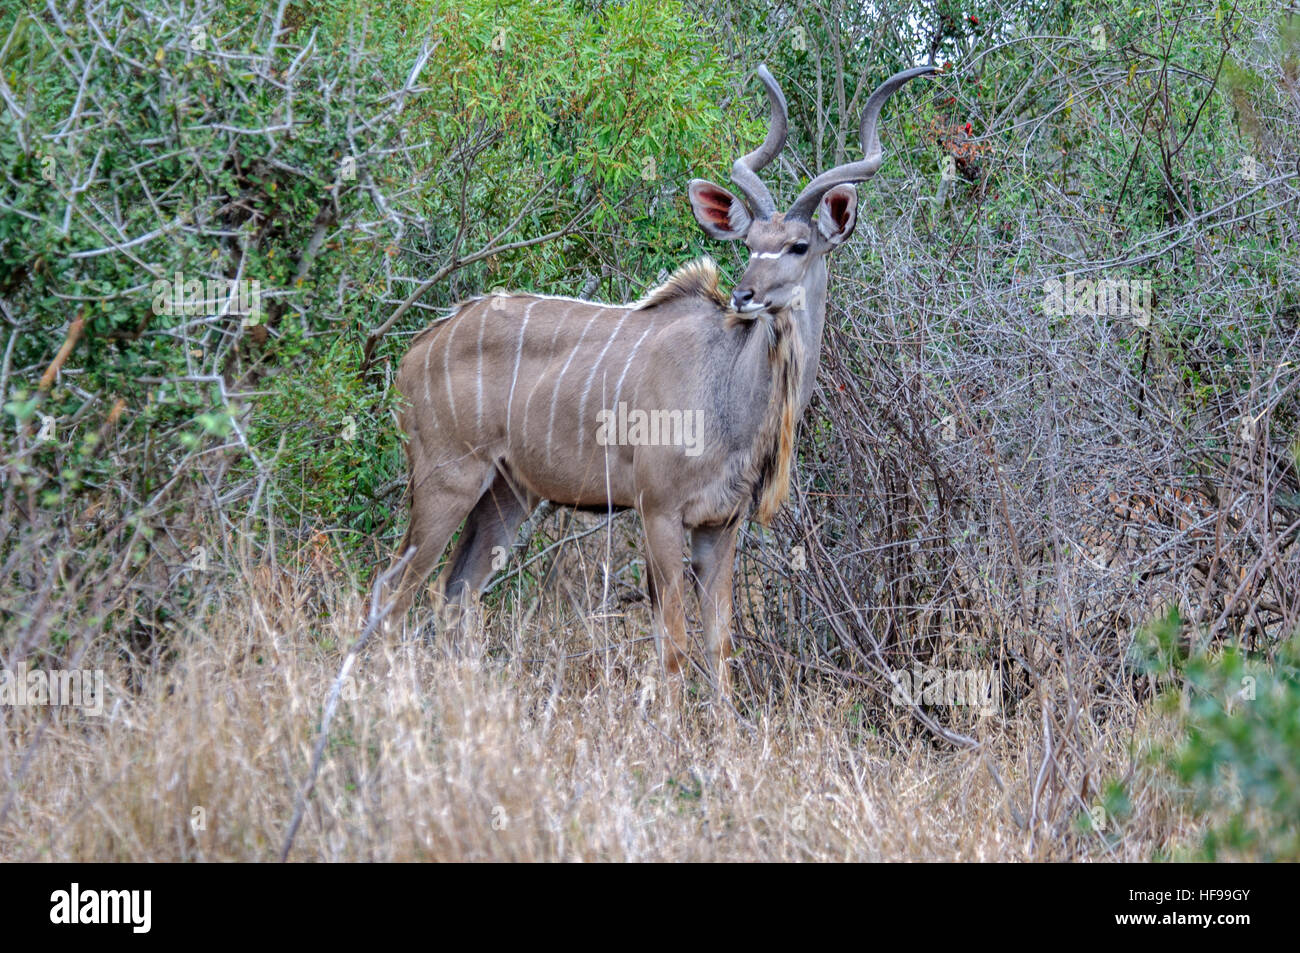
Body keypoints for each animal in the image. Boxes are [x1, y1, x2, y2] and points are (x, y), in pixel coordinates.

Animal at [386, 63, 937, 697]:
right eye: (750, 245)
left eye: (799, 245)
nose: (745, 295)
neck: (727, 387)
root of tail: (416, 350)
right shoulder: (659, 512)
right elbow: (673, 645)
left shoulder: (721, 524)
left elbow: (719, 646)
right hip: (446, 481)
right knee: (394, 591)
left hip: (508, 494)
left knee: (455, 592)